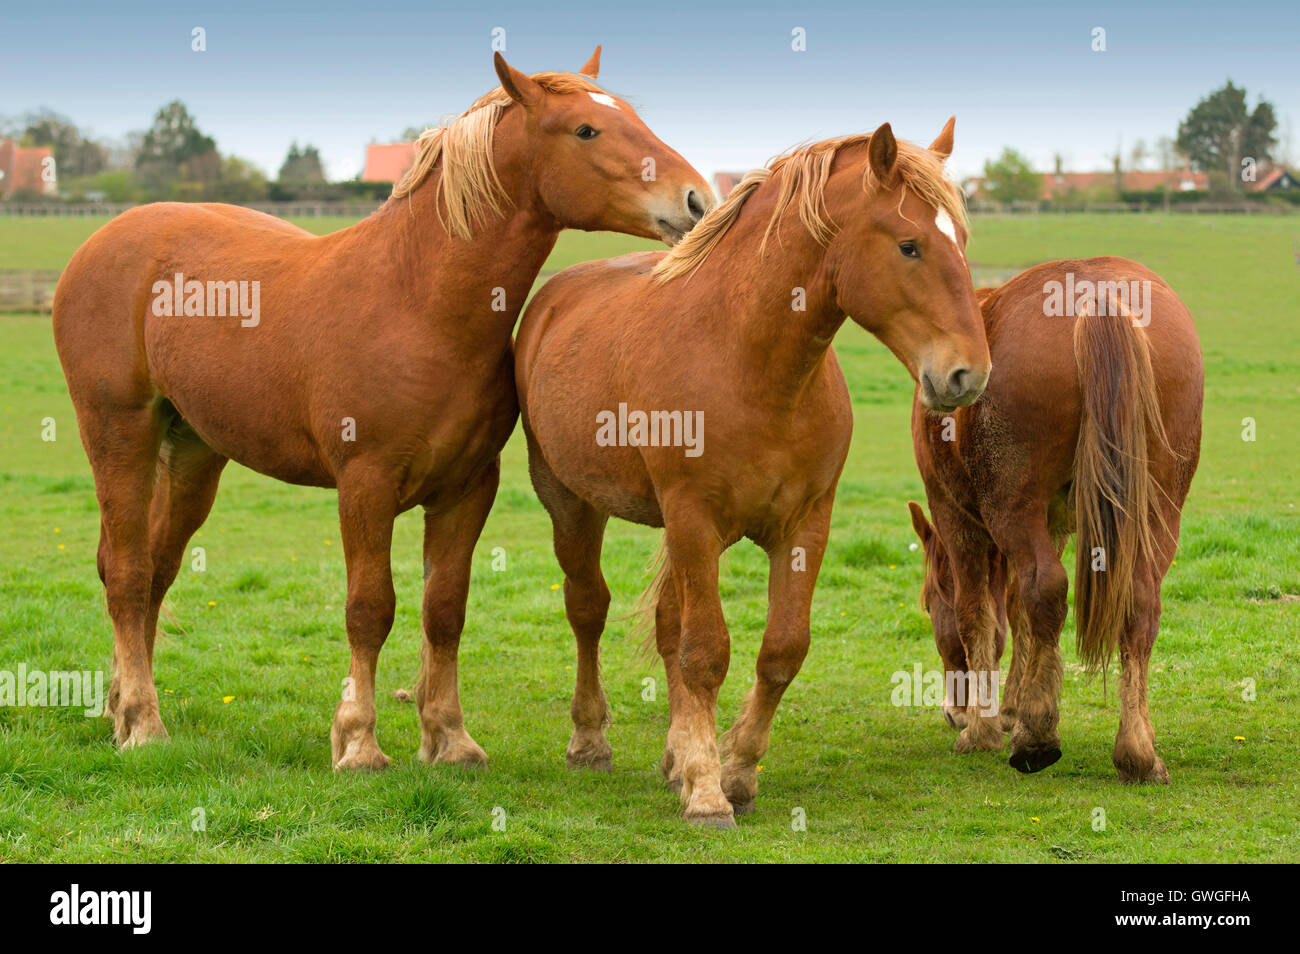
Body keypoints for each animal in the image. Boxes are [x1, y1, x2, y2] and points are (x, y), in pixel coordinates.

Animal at [52, 48, 715, 769]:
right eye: (586, 130)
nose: (697, 200)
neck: (418, 301)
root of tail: (105, 239)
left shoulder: (466, 488)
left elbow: (443, 610)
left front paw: (449, 737)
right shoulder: (364, 485)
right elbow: (370, 609)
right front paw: (359, 742)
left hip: (196, 455)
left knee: (155, 571)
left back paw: (121, 707)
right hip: (119, 434)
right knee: (127, 571)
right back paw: (144, 723)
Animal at [515, 119, 991, 827]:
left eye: (960, 240)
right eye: (910, 246)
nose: (968, 374)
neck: (747, 360)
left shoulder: (804, 525)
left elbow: (780, 651)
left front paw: (732, 767)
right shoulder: (692, 520)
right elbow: (706, 654)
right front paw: (709, 793)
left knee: (667, 629)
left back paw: (676, 758)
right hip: (571, 503)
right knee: (587, 612)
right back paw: (590, 741)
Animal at [907, 258, 1203, 782]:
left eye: (928, 603)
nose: (952, 711)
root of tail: (1098, 295)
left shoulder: (956, 516)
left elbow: (978, 614)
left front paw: (984, 728)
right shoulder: (1059, 523)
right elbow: (1017, 614)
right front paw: (1011, 707)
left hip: (1014, 510)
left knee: (1043, 589)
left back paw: (1036, 739)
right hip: (1160, 510)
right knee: (1139, 601)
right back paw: (1137, 752)